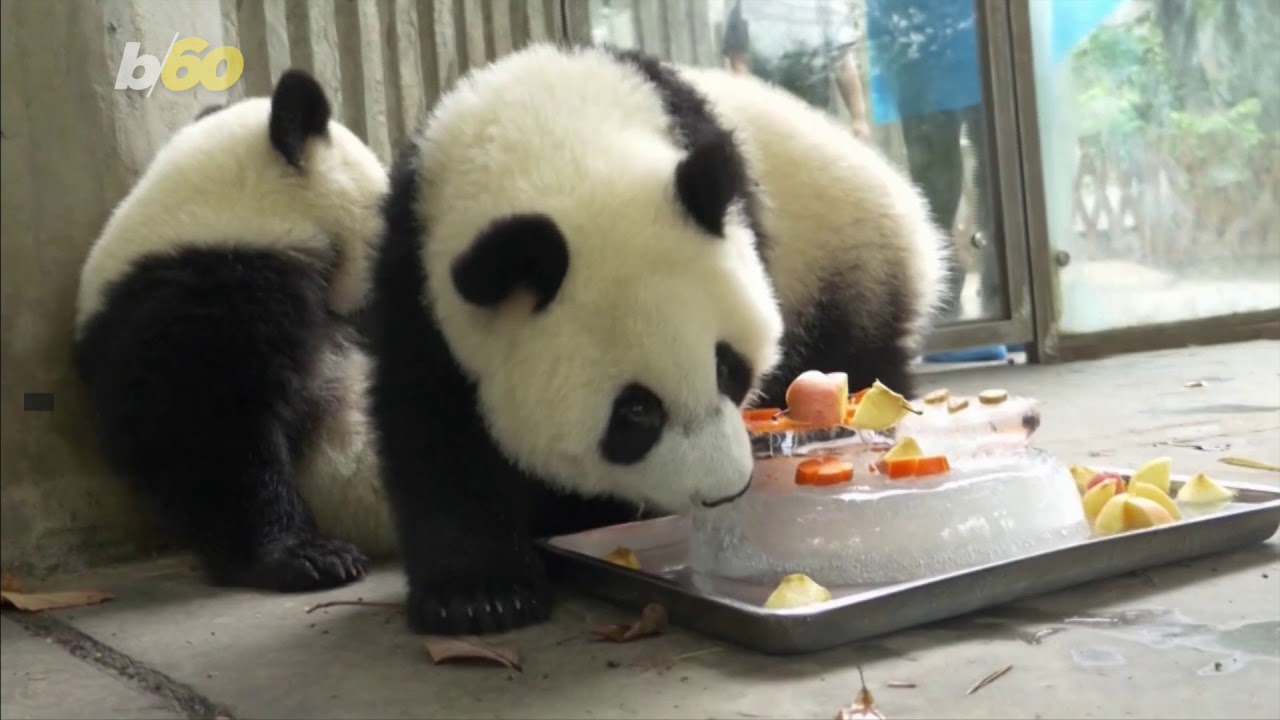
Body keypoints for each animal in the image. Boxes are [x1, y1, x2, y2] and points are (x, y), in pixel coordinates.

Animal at [368, 43, 948, 635]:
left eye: (726, 368)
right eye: (635, 411)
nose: (726, 490)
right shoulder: (415, 277)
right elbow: (434, 429)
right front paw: (480, 596)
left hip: (847, 264)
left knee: (860, 356)